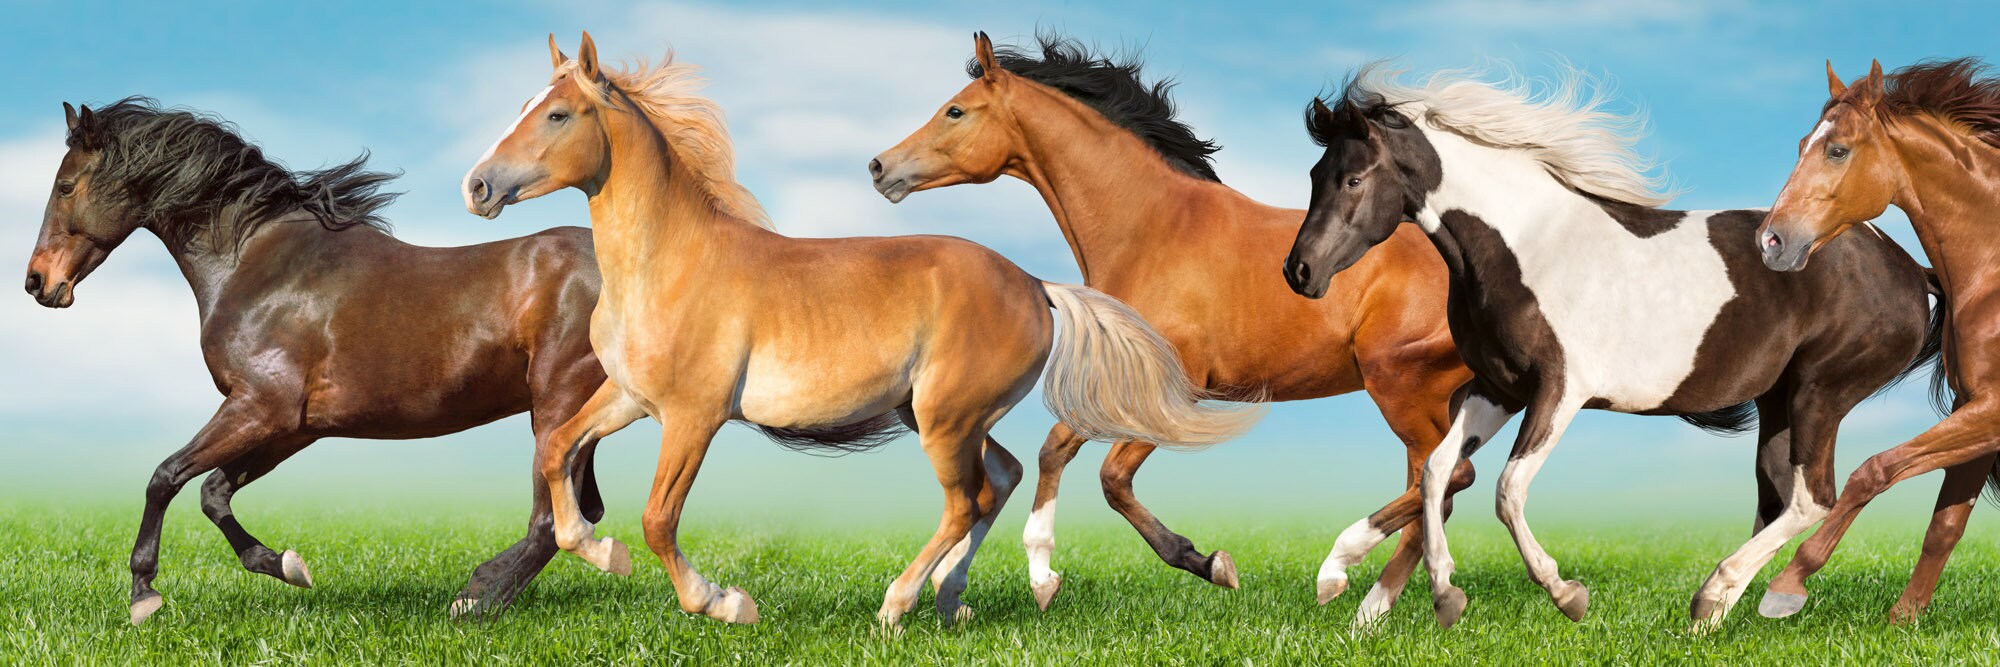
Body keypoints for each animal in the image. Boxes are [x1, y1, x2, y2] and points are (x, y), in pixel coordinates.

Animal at [24, 99, 611, 625]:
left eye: (65, 186)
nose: (37, 282)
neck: (258, 265)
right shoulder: (294, 426)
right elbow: (214, 492)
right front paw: (285, 565)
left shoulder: (260, 407)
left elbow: (164, 477)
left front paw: (143, 594)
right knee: (581, 514)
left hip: (557, 405)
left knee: (551, 522)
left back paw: (476, 600)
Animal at [458, 33, 1260, 629]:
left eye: (558, 115)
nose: (477, 186)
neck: (671, 260)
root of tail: (1038, 286)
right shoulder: (627, 397)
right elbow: (559, 453)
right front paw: (603, 552)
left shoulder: (693, 415)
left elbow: (659, 518)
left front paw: (723, 602)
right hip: (939, 413)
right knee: (1000, 478)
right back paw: (950, 600)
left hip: (944, 416)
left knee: (965, 498)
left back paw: (897, 605)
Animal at [871, 31, 1476, 625]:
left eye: (955, 110)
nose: (879, 167)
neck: (1152, 230)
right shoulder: (1122, 385)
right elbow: (1056, 449)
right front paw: (1044, 579)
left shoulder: (1171, 391)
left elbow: (1111, 478)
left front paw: (1210, 565)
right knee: (1436, 489)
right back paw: (1378, 606)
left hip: (1401, 387)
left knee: (1447, 477)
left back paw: (1342, 575)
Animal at [1281, 65, 1943, 631]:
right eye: (1314, 176)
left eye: (1353, 179)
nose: (1300, 272)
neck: (1525, 246)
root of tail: (1910, 269)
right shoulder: (1497, 389)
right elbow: (1440, 472)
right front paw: (1434, 592)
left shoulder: (1559, 391)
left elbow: (1507, 489)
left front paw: (1566, 595)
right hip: (1779, 402)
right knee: (1779, 495)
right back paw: (1714, 611)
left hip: (1819, 392)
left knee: (1812, 498)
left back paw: (1713, 597)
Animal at [1756, 59, 2000, 623]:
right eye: (1800, 143)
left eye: (1837, 150)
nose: (1771, 242)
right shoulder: (1976, 408)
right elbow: (1944, 527)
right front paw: (1903, 621)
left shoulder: (1992, 411)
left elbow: (1874, 470)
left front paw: (1787, 585)